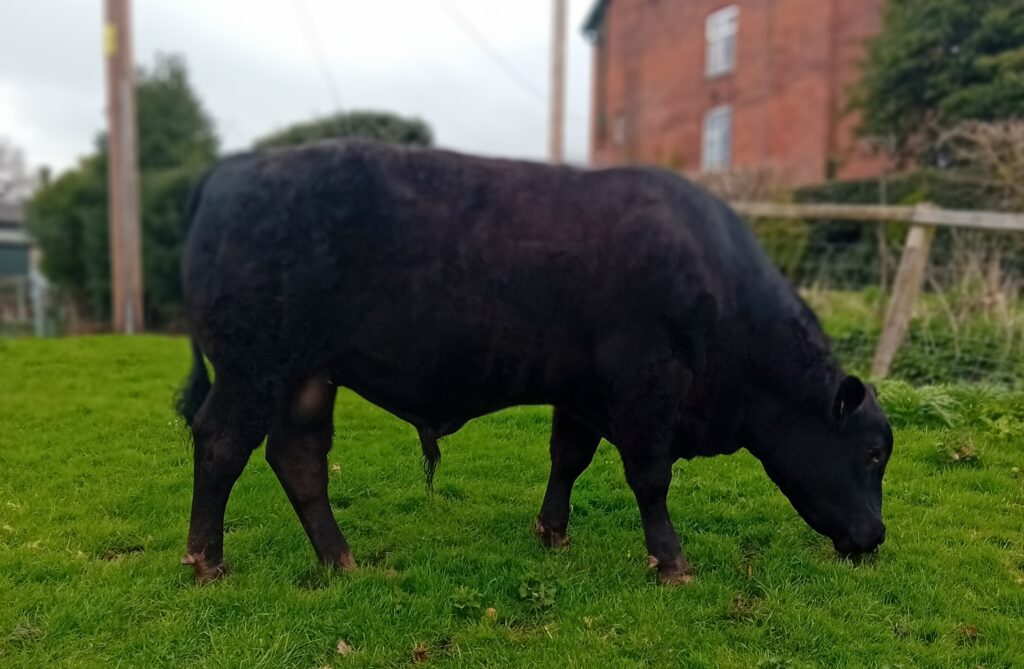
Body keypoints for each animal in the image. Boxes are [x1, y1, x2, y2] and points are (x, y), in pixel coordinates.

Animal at [176, 140, 893, 585]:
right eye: (873, 453)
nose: (876, 536)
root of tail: (234, 170)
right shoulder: (649, 384)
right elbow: (650, 479)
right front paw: (671, 562)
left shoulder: (581, 391)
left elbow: (568, 458)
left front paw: (552, 532)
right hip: (254, 368)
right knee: (221, 447)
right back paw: (206, 561)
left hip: (307, 376)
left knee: (297, 458)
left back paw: (340, 560)